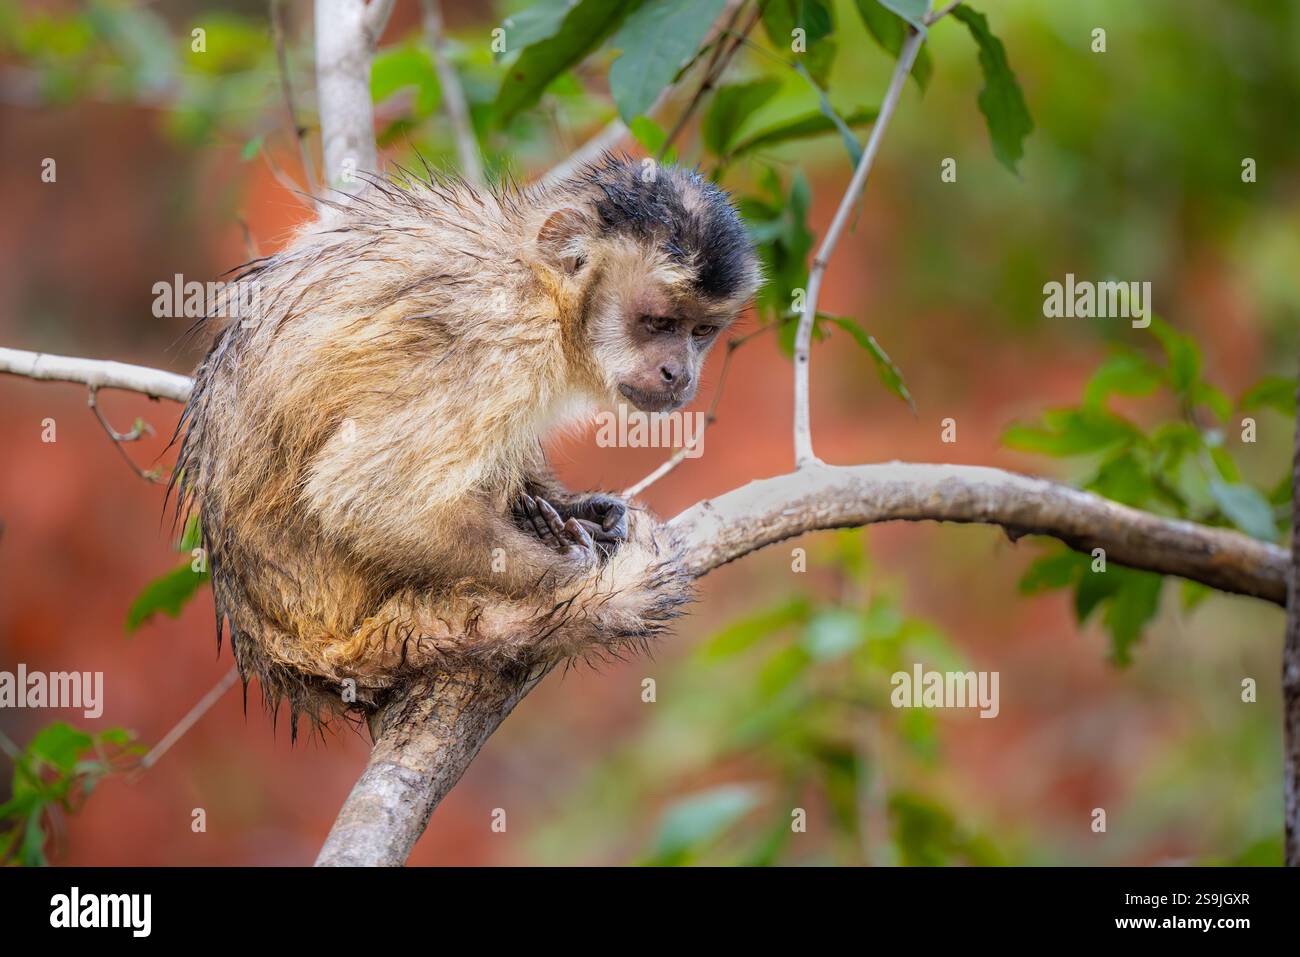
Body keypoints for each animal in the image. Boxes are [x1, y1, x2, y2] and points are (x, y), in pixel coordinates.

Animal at [172, 154, 761, 731]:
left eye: (701, 332)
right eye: (659, 322)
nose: (679, 372)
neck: (541, 285)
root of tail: (284, 652)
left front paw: (577, 509)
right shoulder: (505, 338)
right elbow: (361, 499)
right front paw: (565, 570)